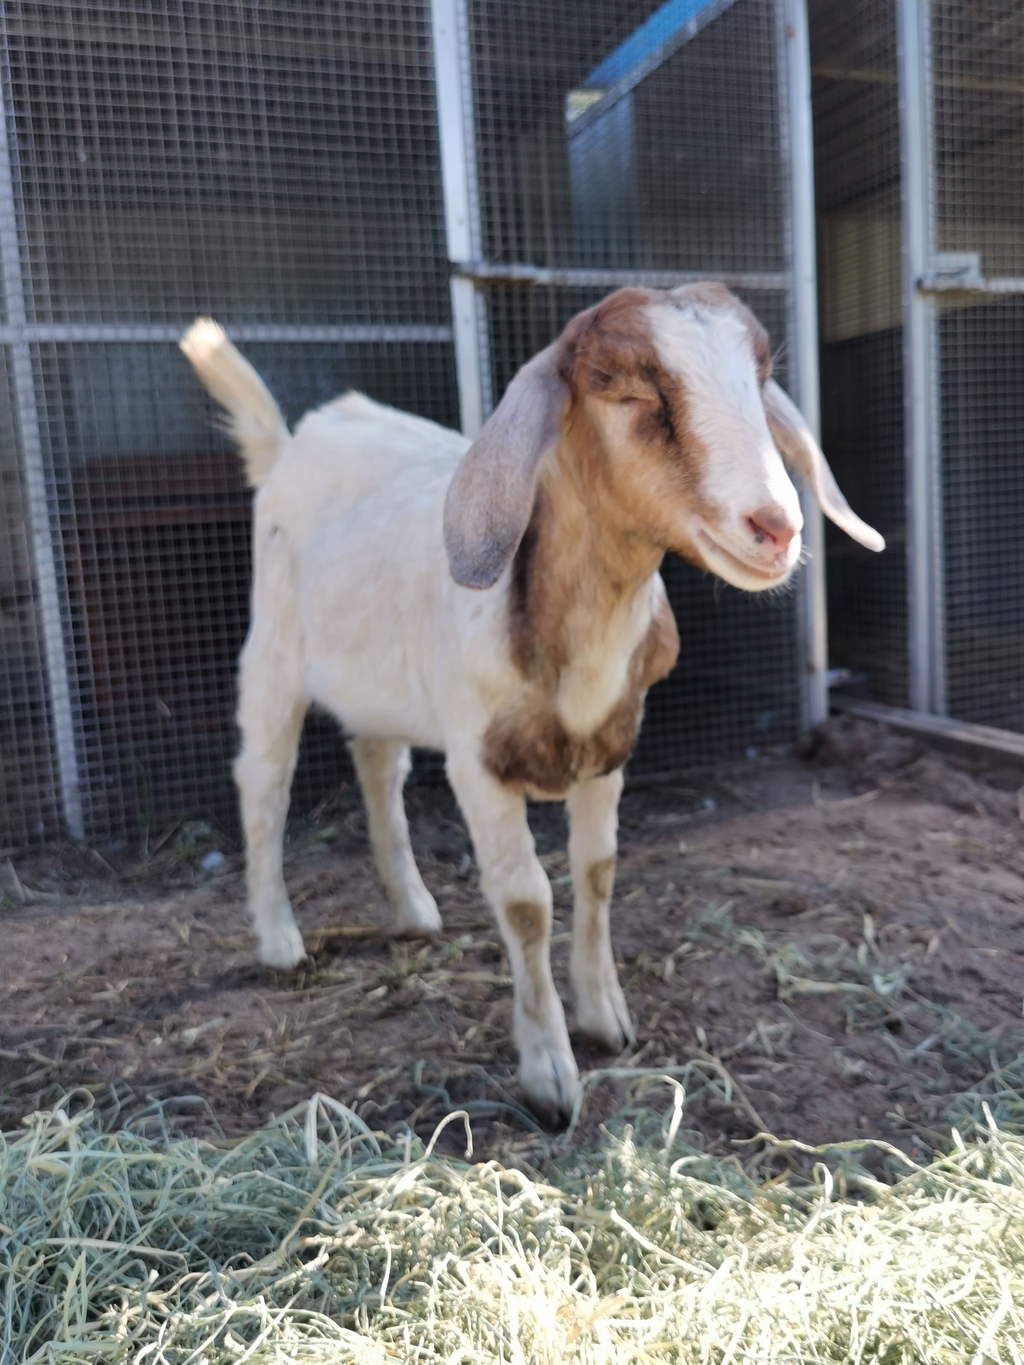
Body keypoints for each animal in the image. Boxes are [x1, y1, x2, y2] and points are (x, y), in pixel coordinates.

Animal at [181, 284, 883, 1119]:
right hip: (274, 649)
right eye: (623, 387)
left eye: (760, 376)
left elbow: (598, 869)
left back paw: (413, 909)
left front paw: (605, 1016)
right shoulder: (479, 762)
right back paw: (279, 939)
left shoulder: (611, 747)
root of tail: (291, 443)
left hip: (379, 675)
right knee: (264, 781)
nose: (776, 526)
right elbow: (525, 902)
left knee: (378, 764)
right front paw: (550, 1072)